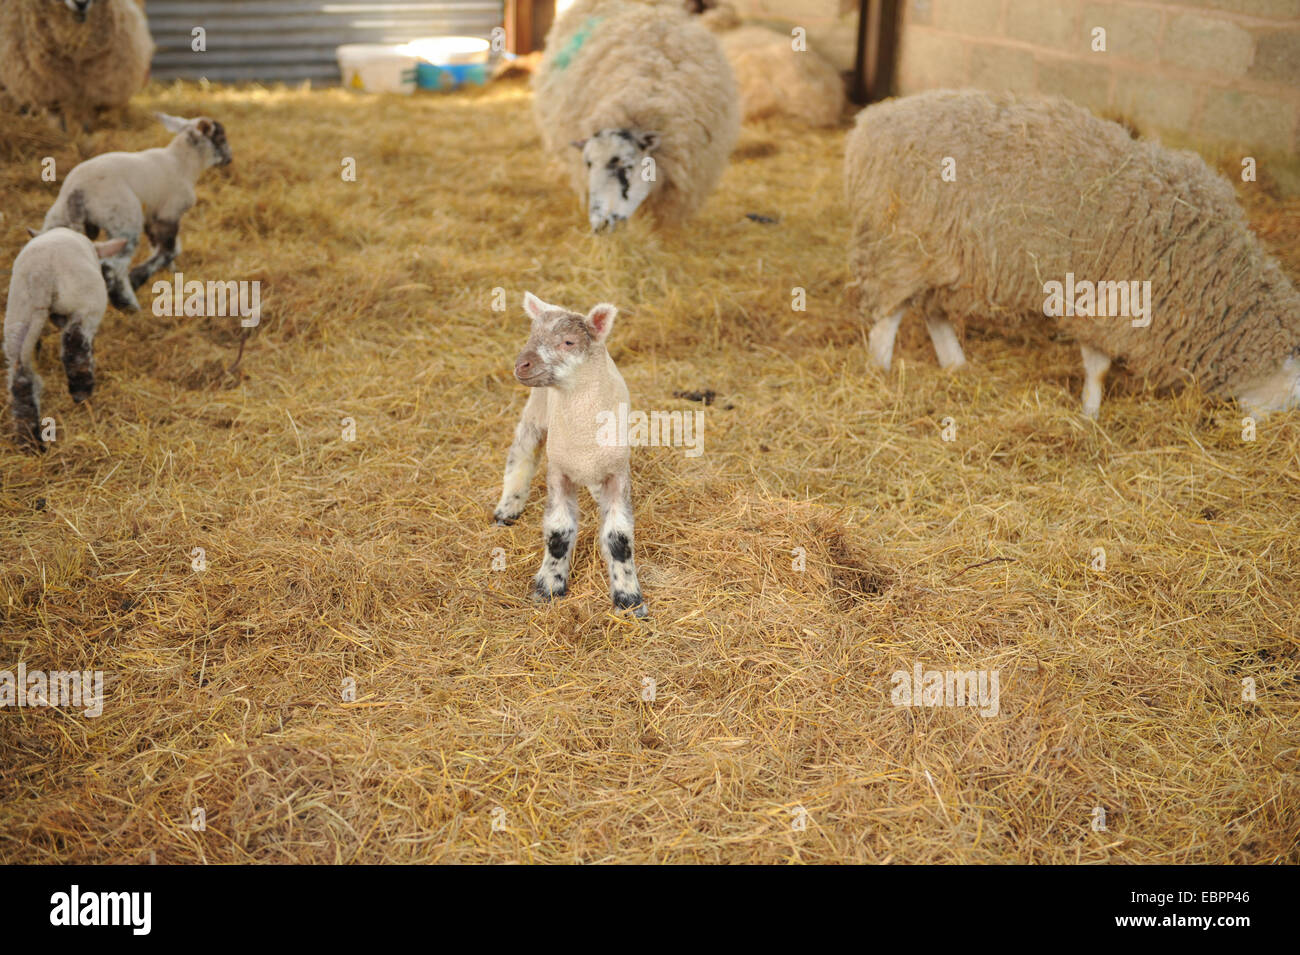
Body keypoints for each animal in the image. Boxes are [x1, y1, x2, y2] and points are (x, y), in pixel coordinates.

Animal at [5, 227, 127, 449]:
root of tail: (41, 275)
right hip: (83, 305)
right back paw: (81, 391)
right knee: (74, 343)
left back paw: (29, 440)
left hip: (19, 315)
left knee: (20, 376)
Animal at [39, 113, 233, 313]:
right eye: (221, 137)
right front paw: (139, 277)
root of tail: (78, 191)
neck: (182, 163)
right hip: (124, 218)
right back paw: (128, 304)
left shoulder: (152, 216)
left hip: (59, 217)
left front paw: (170, 271)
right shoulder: (169, 213)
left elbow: (159, 247)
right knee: (113, 265)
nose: (229, 159)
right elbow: (169, 250)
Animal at [494, 292, 648, 617]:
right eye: (532, 335)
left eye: (568, 342)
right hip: (537, 411)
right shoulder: (559, 471)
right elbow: (559, 532)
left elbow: (619, 538)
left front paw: (629, 599)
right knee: (521, 453)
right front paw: (549, 586)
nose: (521, 365)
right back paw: (508, 506)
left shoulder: (617, 472)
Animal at [845, 89, 1300, 418]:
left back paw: (955, 364)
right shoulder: (1103, 303)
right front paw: (1090, 415)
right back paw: (880, 369)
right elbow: (1098, 367)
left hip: (949, 260)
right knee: (890, 314)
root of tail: (872, 122)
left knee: (932, 309)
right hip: (902, 245)